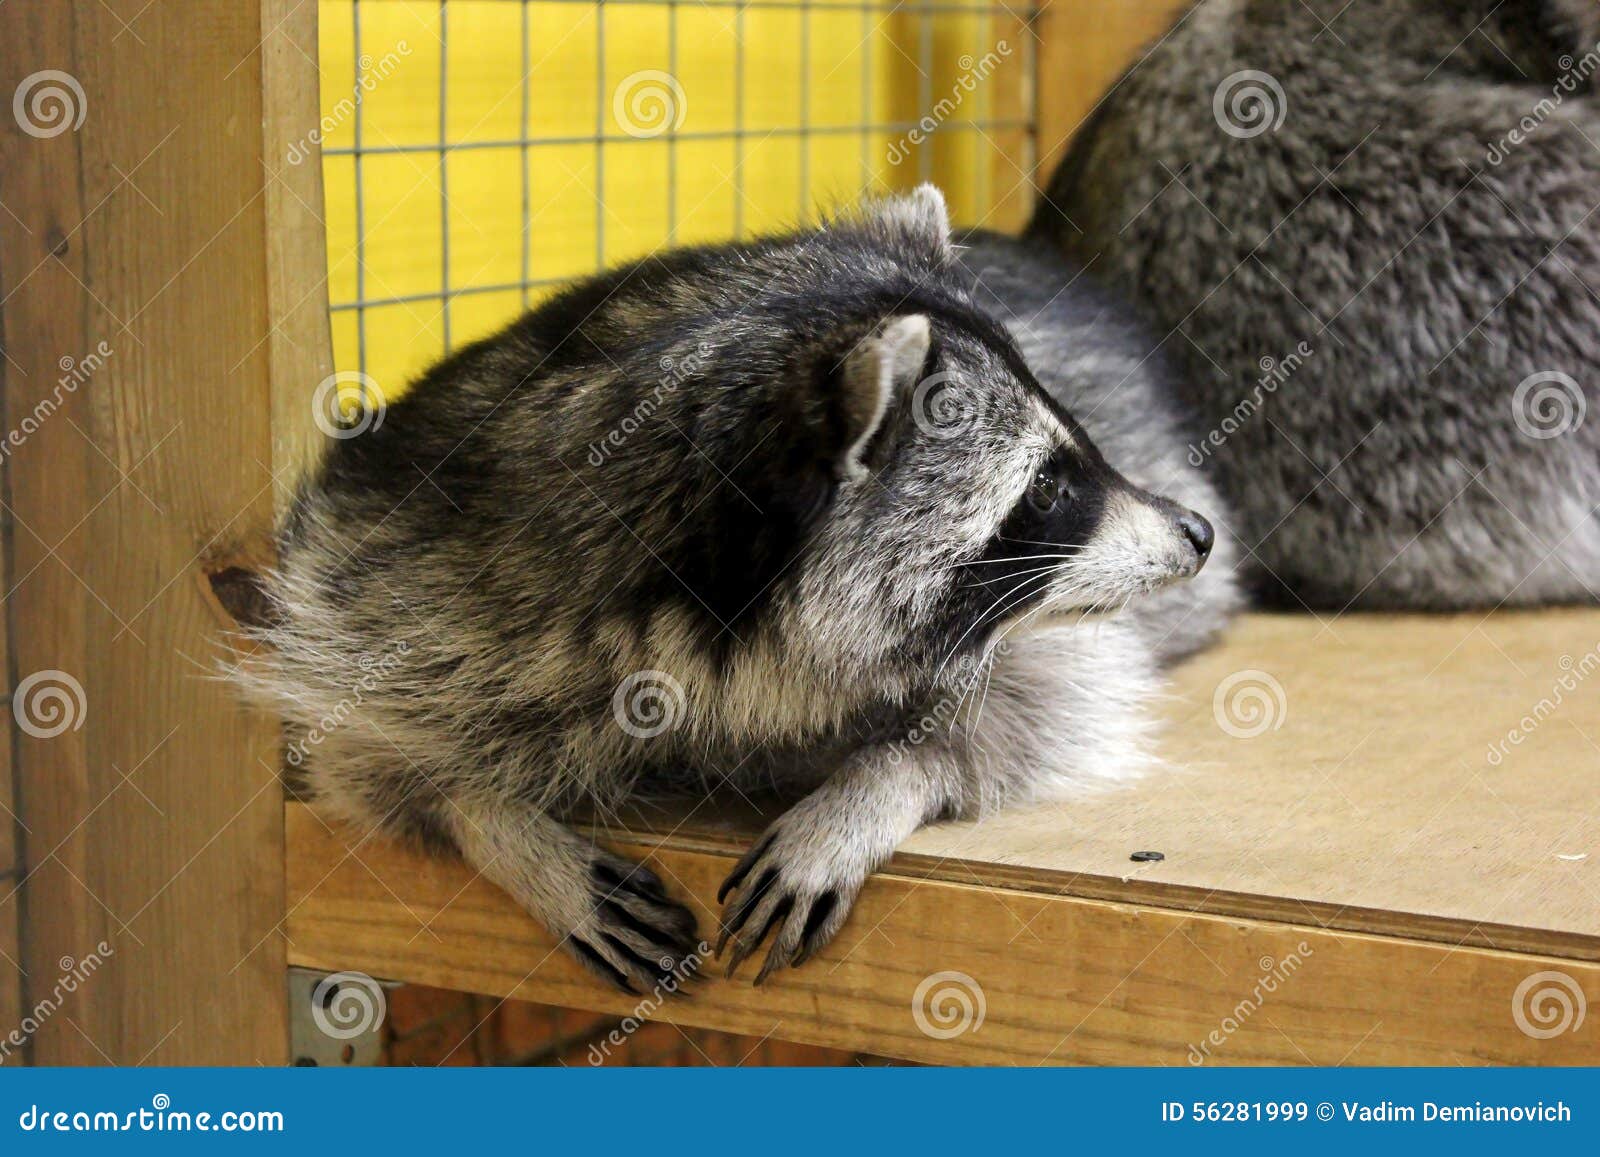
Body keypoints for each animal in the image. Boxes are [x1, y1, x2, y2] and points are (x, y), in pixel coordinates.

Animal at [236, 188, 1237, 992]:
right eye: (1049, 488)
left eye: (1075, 440)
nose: (1195, 533)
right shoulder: (397, 575)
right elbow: (356, 746)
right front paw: (491, 820)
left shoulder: (1020, 626)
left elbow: (1051, 693)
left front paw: (884, 779)